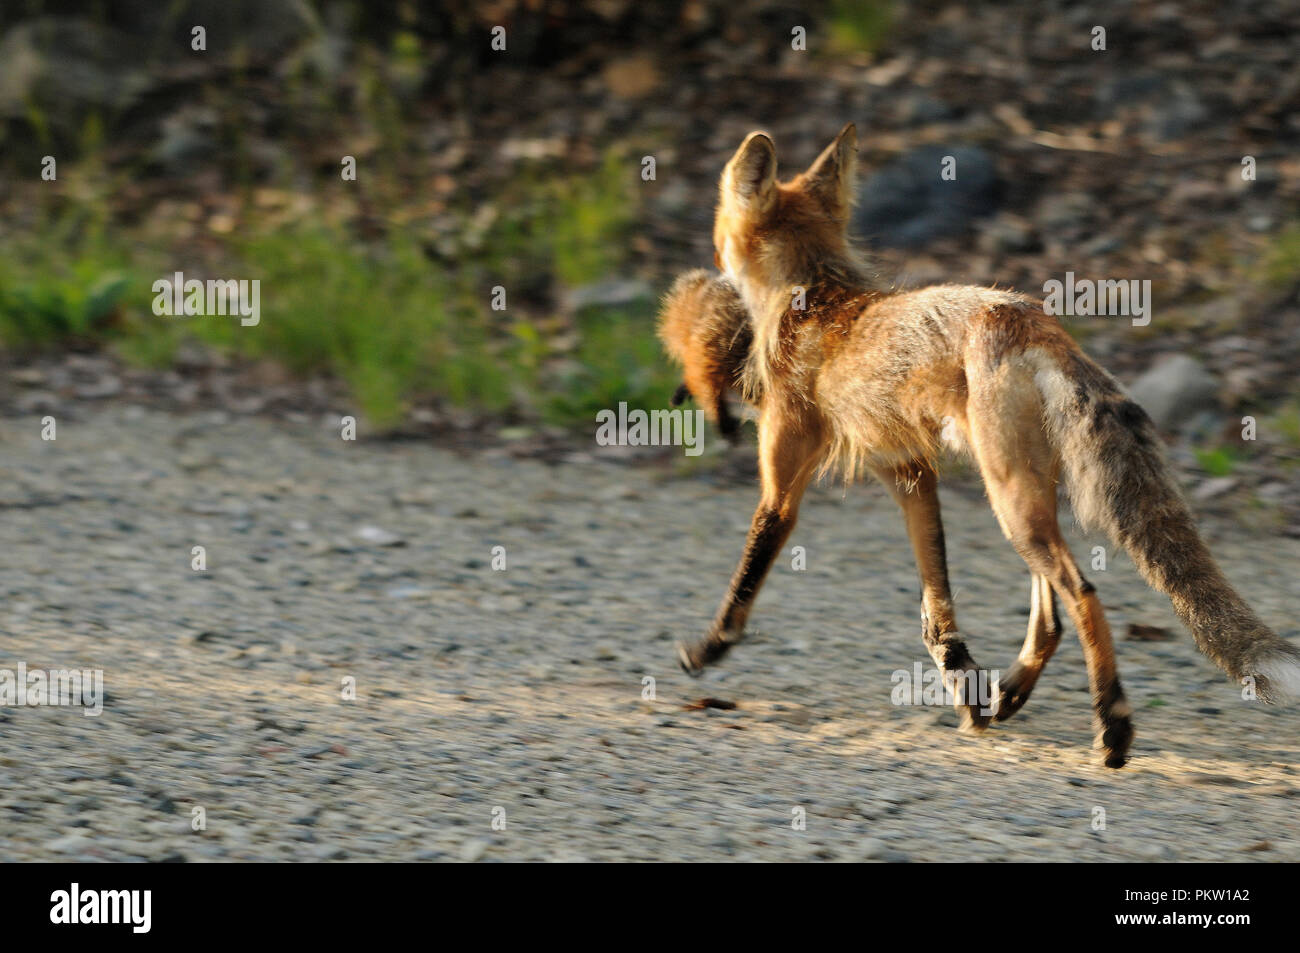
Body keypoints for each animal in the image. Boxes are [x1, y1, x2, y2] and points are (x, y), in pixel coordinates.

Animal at [674, 122, 1300, 768]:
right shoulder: (910, 476)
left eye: (719, 232)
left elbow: (747, 575)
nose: (708, 263)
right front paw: (961, 678)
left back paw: (1113, 724)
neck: (812, 298)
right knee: (1051, 615)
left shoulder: (783, 485)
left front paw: (710, 647)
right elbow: (936, 601)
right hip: (1023, 497)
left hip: (1009, 499)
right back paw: (1014, 692)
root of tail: (1028, 317)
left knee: (1082, 593)